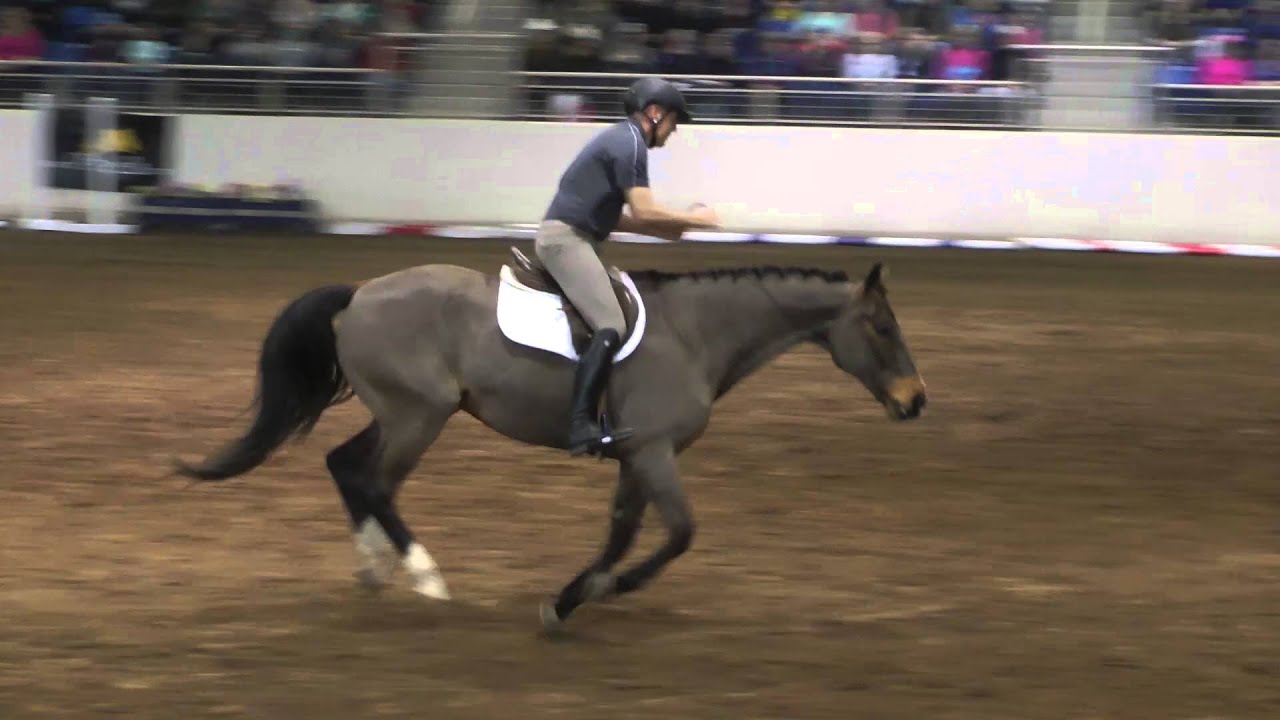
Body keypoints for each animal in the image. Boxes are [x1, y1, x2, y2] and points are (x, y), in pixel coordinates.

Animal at [175, 246, 928, 630]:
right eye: (882, 328)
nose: (916, 401)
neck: (695, 335)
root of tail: (358, 295)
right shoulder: (654, 452)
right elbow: (680, 532)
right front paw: (597, 592)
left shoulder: (635, 456)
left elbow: (625, 531)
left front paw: (582, 591)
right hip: (419, 416)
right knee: (375, 481)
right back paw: (425, 576)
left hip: (399, 413)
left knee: (345, 466)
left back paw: (372, 567)